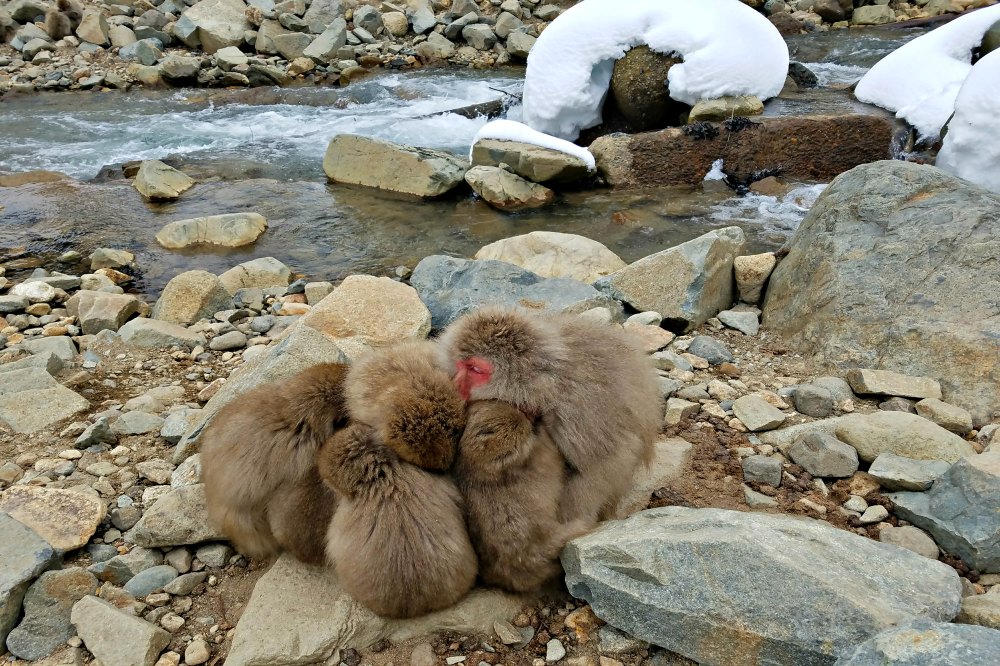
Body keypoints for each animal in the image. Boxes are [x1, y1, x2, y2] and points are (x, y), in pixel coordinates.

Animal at [437, 307, 663, 524]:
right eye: (460, 365)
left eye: (475, 369)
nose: (456, 384)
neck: (540, 384)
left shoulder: (576, 409)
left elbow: (608, 460)